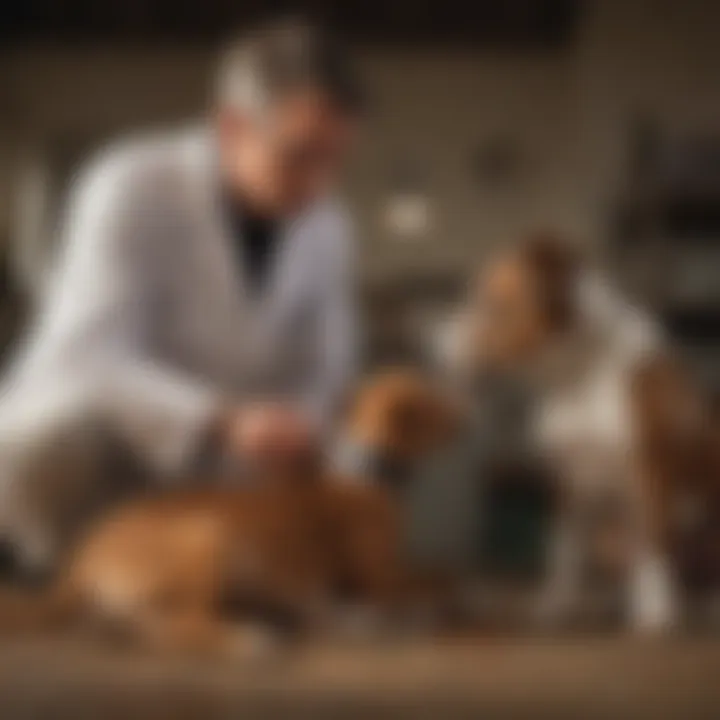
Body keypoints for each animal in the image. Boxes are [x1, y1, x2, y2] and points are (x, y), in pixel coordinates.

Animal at [0, 368, 458, 656]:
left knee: (146, 626)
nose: (464, 415)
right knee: (181, 626)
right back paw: (253, 639)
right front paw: (439, 597)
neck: (369, 465)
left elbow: (432, 578)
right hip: (207, 536)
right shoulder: (382, 575)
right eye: (435, 406)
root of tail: (80, 562)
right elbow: (435, 578)